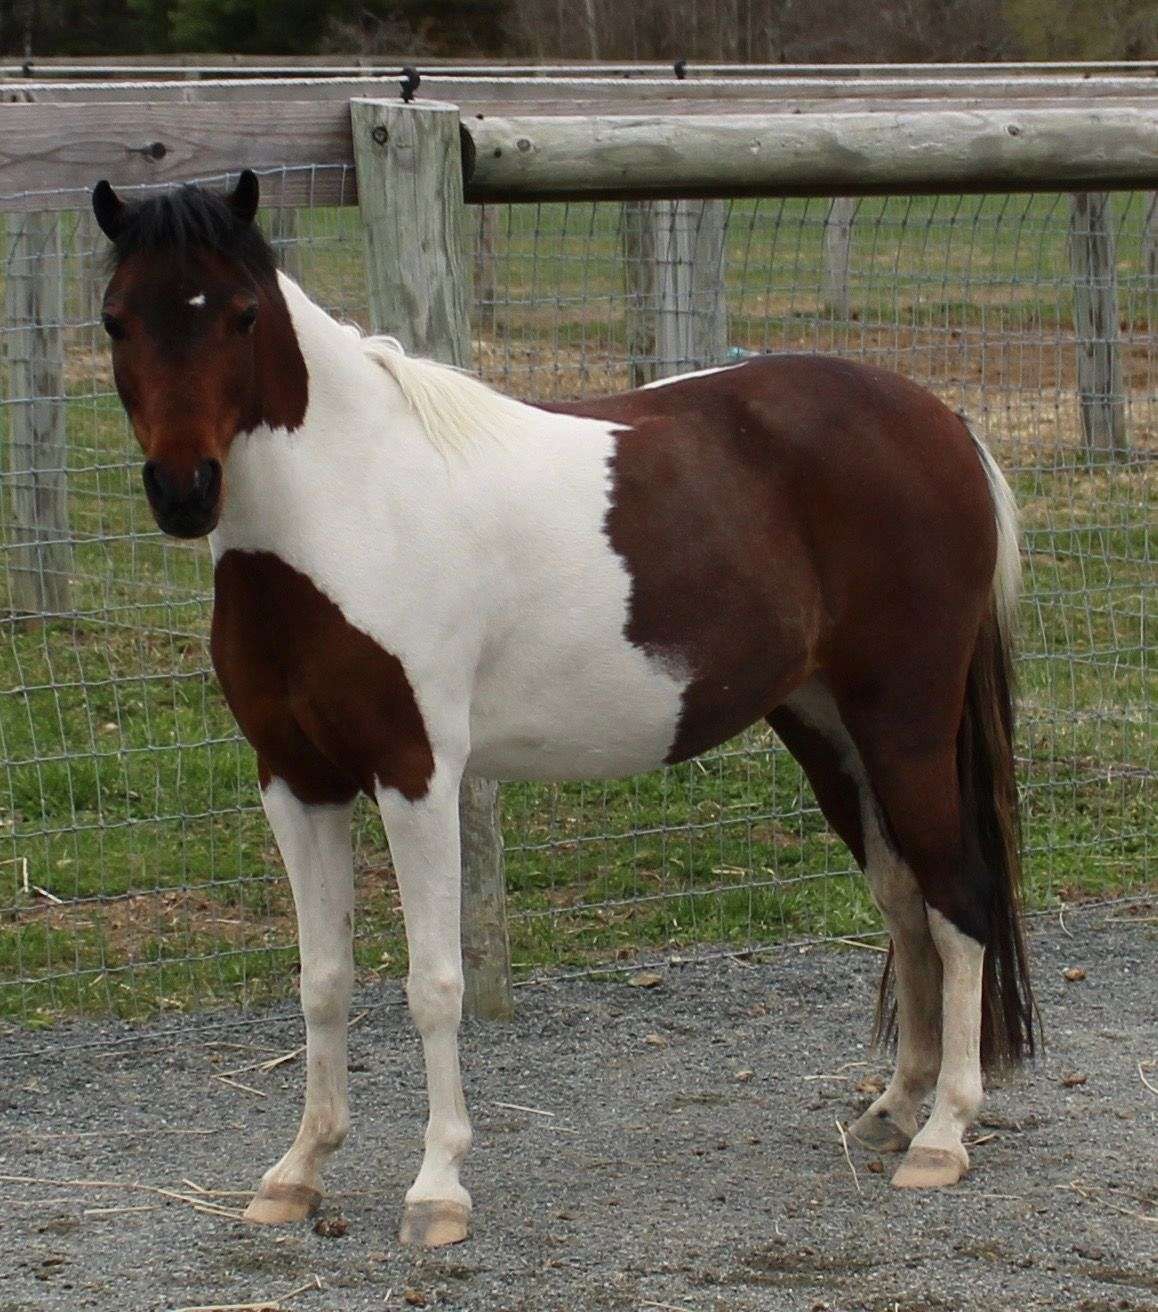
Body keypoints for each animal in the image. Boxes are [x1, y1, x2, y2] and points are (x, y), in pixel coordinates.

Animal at [91, 171, 1034, 1247]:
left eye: (242, 314)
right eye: (118, 319)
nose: (184, 491)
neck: (346, 512)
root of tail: (942, 423)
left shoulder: (415, 775)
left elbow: (434, 984)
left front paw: (437, 1189)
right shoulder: (295, 781)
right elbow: (321, 981)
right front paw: (298, 1172)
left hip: (906, 721)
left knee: (960, 901)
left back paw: (943, 1136)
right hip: (830, 731)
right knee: (904, 899)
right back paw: (895, 1107)